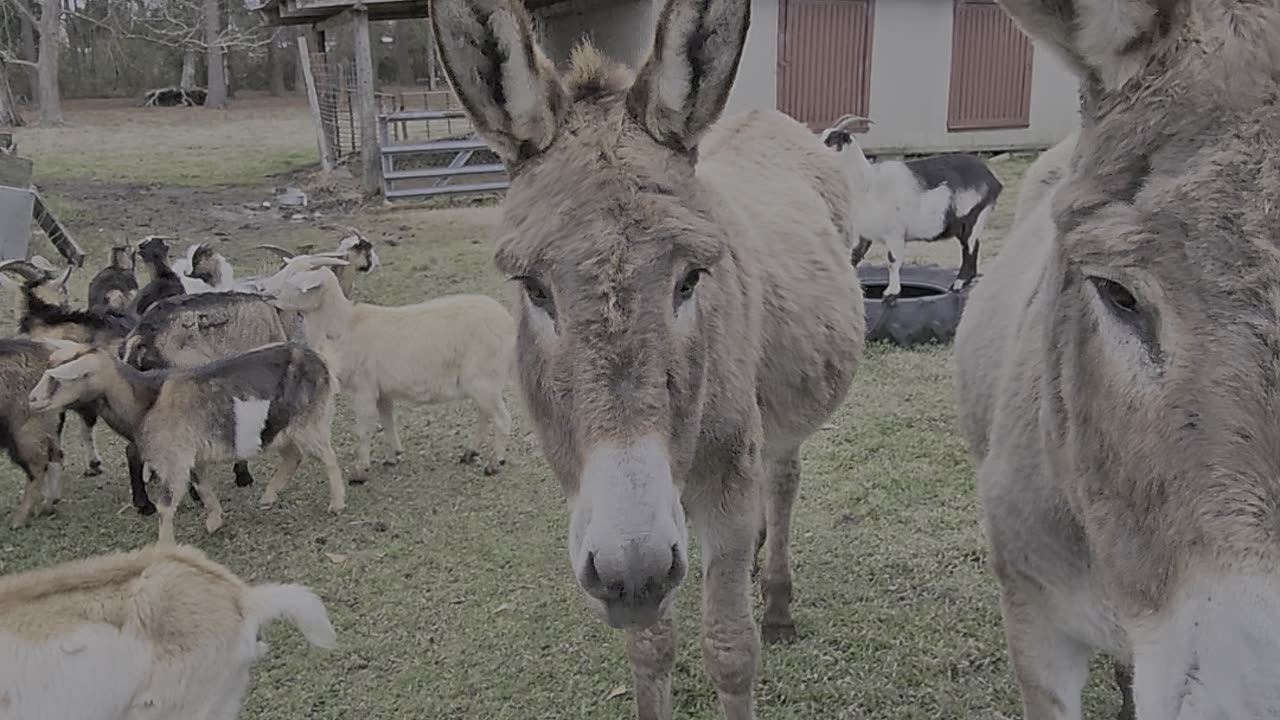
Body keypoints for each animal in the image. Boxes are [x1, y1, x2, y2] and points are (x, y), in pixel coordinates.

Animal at [29, 339, 347, 543]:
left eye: (58, 377)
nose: (31, 399)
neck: (147, 399)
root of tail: (322, 362)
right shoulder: (192, 458)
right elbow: (203, 488)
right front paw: (214, 521)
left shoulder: (174, 460)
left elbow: (165, 506)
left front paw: (164, 547)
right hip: (281, 427)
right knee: (293, 456)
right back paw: (269, 497)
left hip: (309, 422)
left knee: (329, 458)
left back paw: (336, 503)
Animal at [267, 255, 516, 480]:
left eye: (293, 279)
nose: (266, 294)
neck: (343, 325)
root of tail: (507, 321)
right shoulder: (382, 390)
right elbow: (387, 421)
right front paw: (392, 456)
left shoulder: (364, 387)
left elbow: (363, 430)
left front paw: (360, 471)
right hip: (484, 382)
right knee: (485, 415)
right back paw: (470, 453)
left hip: (483, 379)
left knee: (502, 419)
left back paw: (495, 464)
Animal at [821, 114, 1003, 301]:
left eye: (831, 140)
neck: (868, 183)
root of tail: (993, 180)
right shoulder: (863, 234)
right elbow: (854, 257)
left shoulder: (894, 233)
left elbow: (892, 261)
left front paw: (891, 294)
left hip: (973, 218)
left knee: (970, 250)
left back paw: (958, 284)